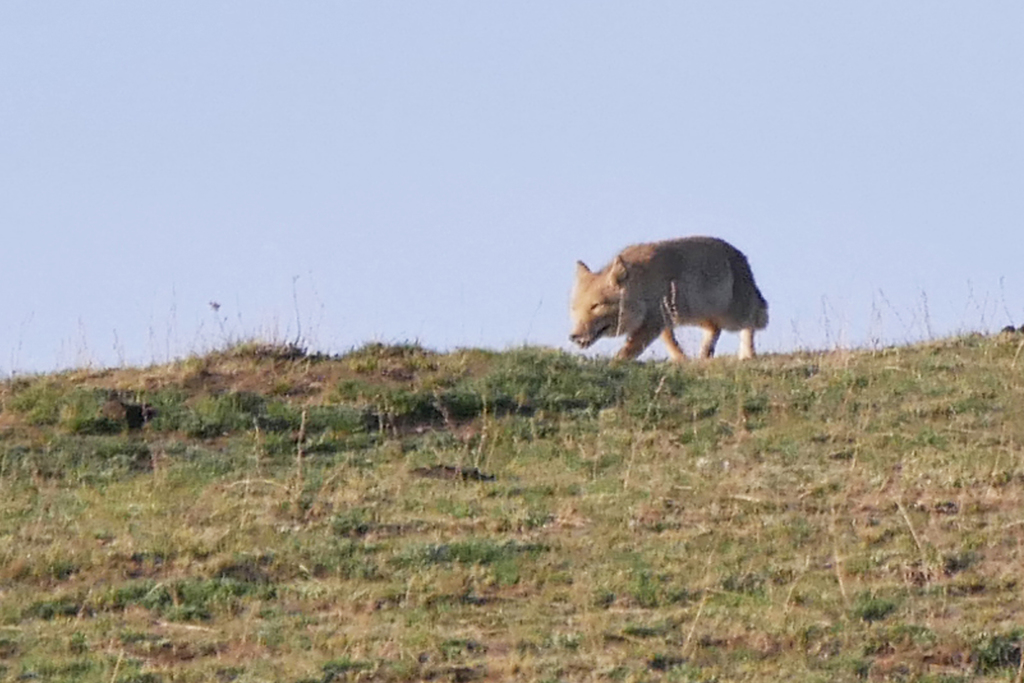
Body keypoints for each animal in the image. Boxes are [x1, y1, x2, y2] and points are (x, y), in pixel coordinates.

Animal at [570, 236, 768, 361]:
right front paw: (681, 360)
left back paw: (747, 354)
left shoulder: (653, 323)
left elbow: (626, 352)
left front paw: (615, 364)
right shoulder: (664, 323)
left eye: (596, 306)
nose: (573, 336)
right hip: (696, 316)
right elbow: (672, 345)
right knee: (714, 330)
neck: (642, 286)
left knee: (752, 322)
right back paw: (704, 355)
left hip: (733, 319)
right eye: (574, 309)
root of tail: (741, 257)